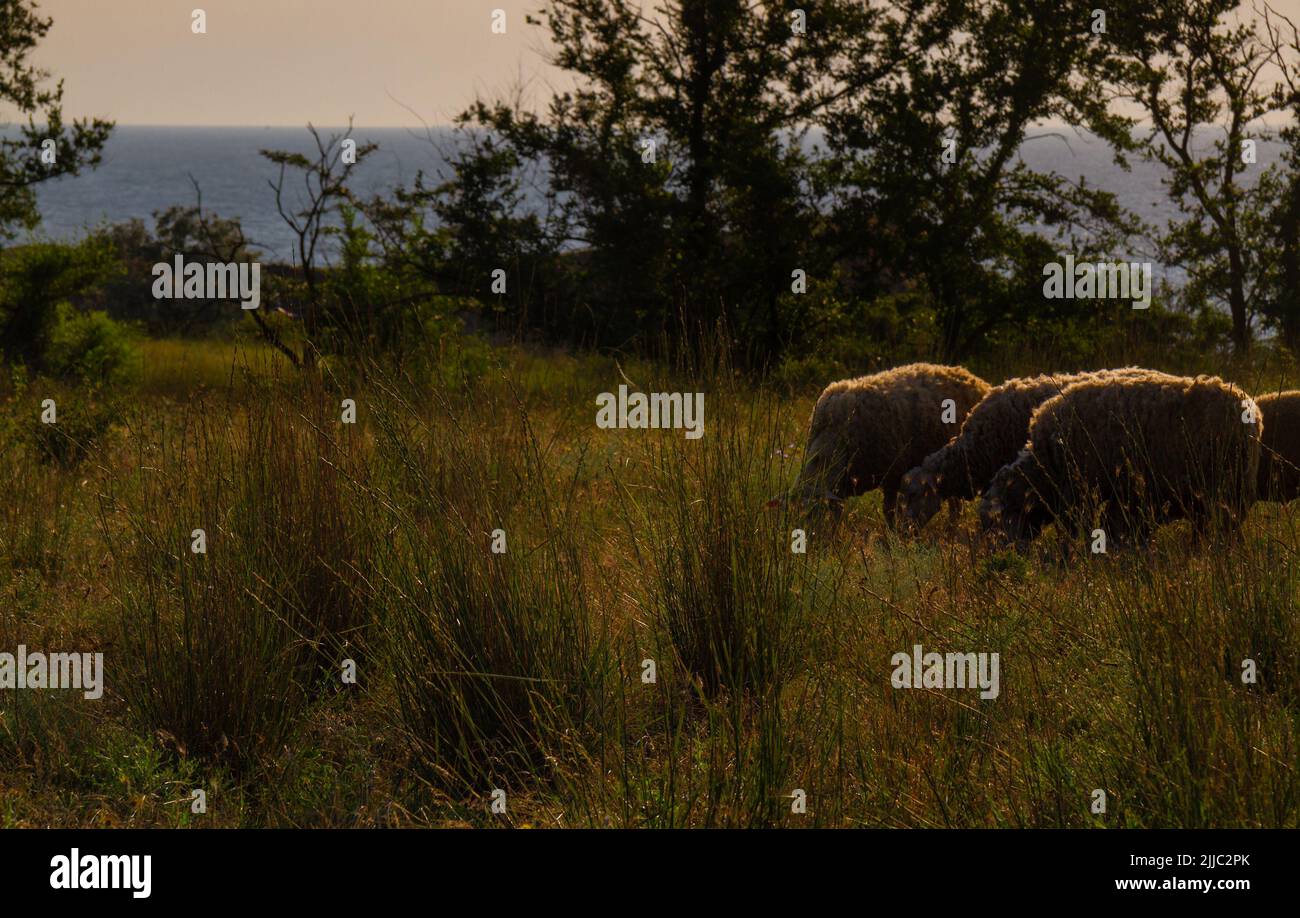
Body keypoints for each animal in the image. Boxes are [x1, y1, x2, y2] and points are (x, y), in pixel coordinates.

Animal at [780, 363, 991, 527]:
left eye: (814, 511)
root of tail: (974, 378)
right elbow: (838, 510)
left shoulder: (893, 473)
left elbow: (889, 511)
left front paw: (891, 536)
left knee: (956, 504)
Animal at [978, 373, 1261, 549]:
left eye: (997, 520)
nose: (997, 562)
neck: (1047, 466)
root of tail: (1251, 410)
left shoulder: (1081, 493)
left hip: (1228, 484)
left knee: (1228, 525)